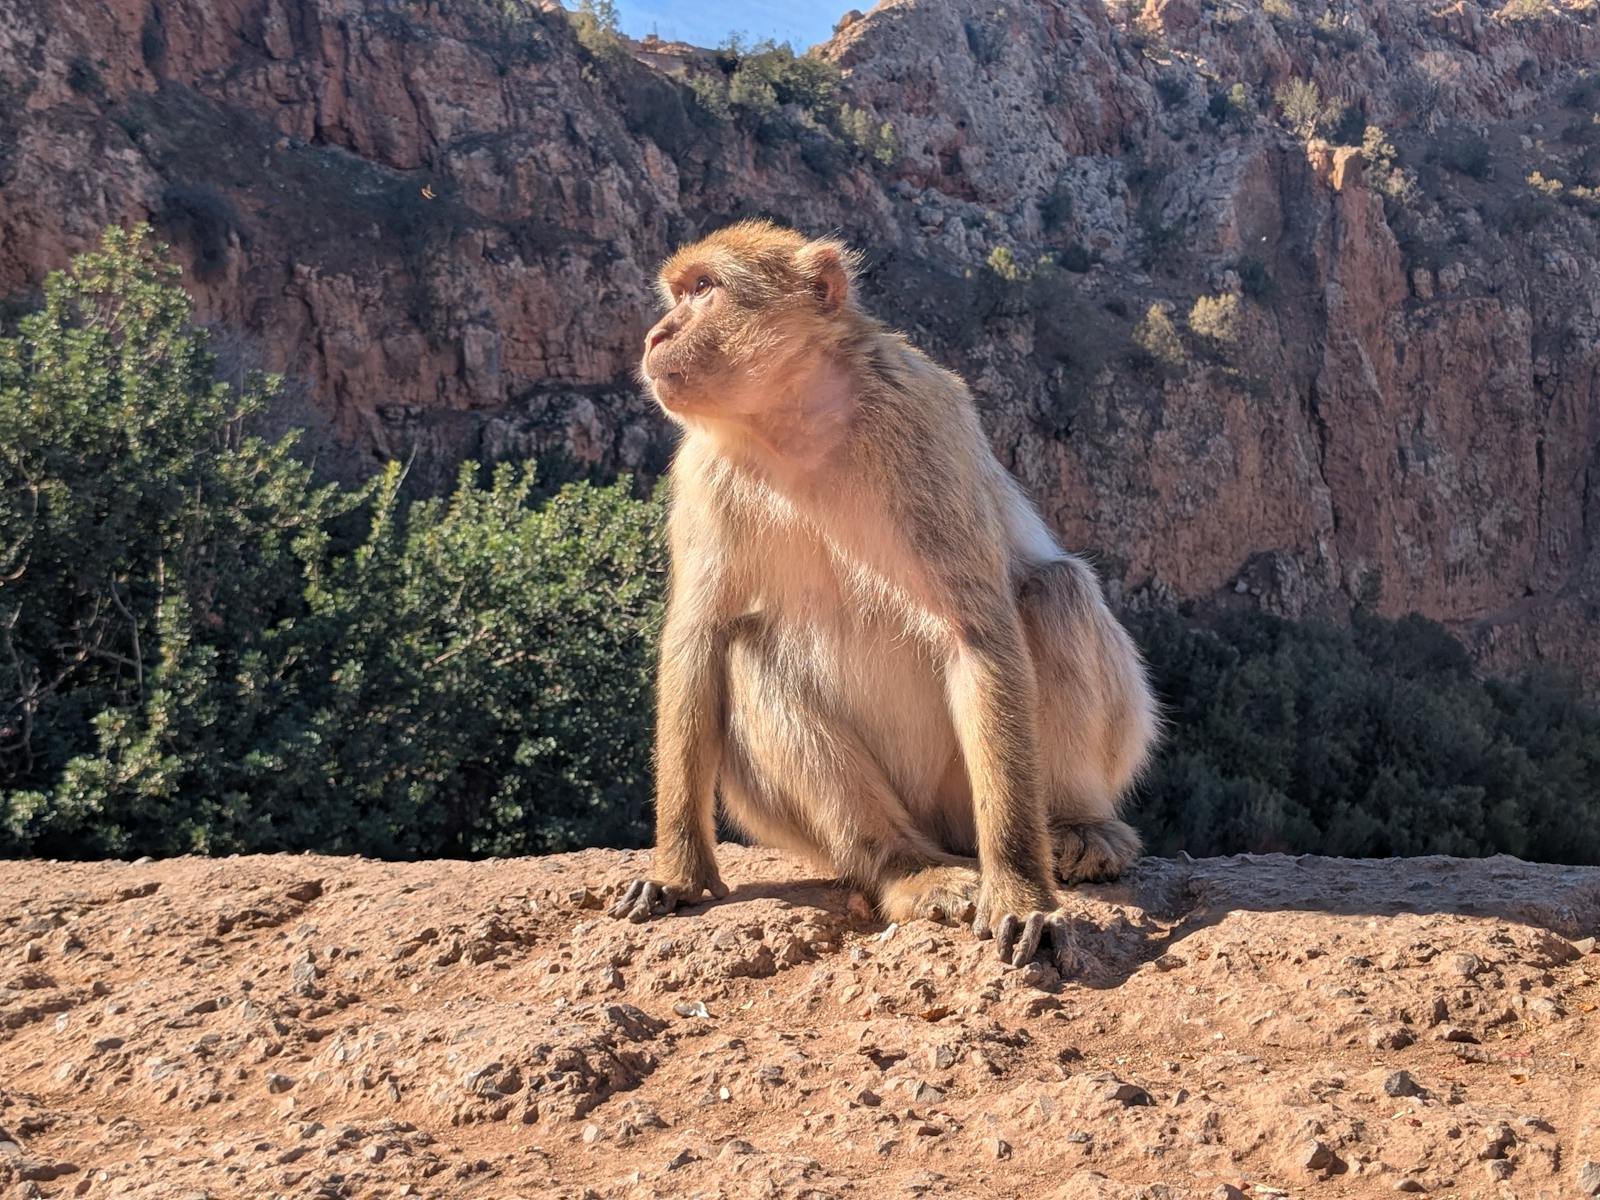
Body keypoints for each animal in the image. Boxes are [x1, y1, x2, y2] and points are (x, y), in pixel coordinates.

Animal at [608, 220, 1158, 969]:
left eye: (704, 289)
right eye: (679, 293)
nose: (656, 335)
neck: (796, 427)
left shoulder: (923, 421)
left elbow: (977, 633)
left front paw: (1021, 890)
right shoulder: (702, 474)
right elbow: (701, 637)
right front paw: (679, 871)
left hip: (973, 792)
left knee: (1056, 591)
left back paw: (1076, 826)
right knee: (748, 653)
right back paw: (906, 869)